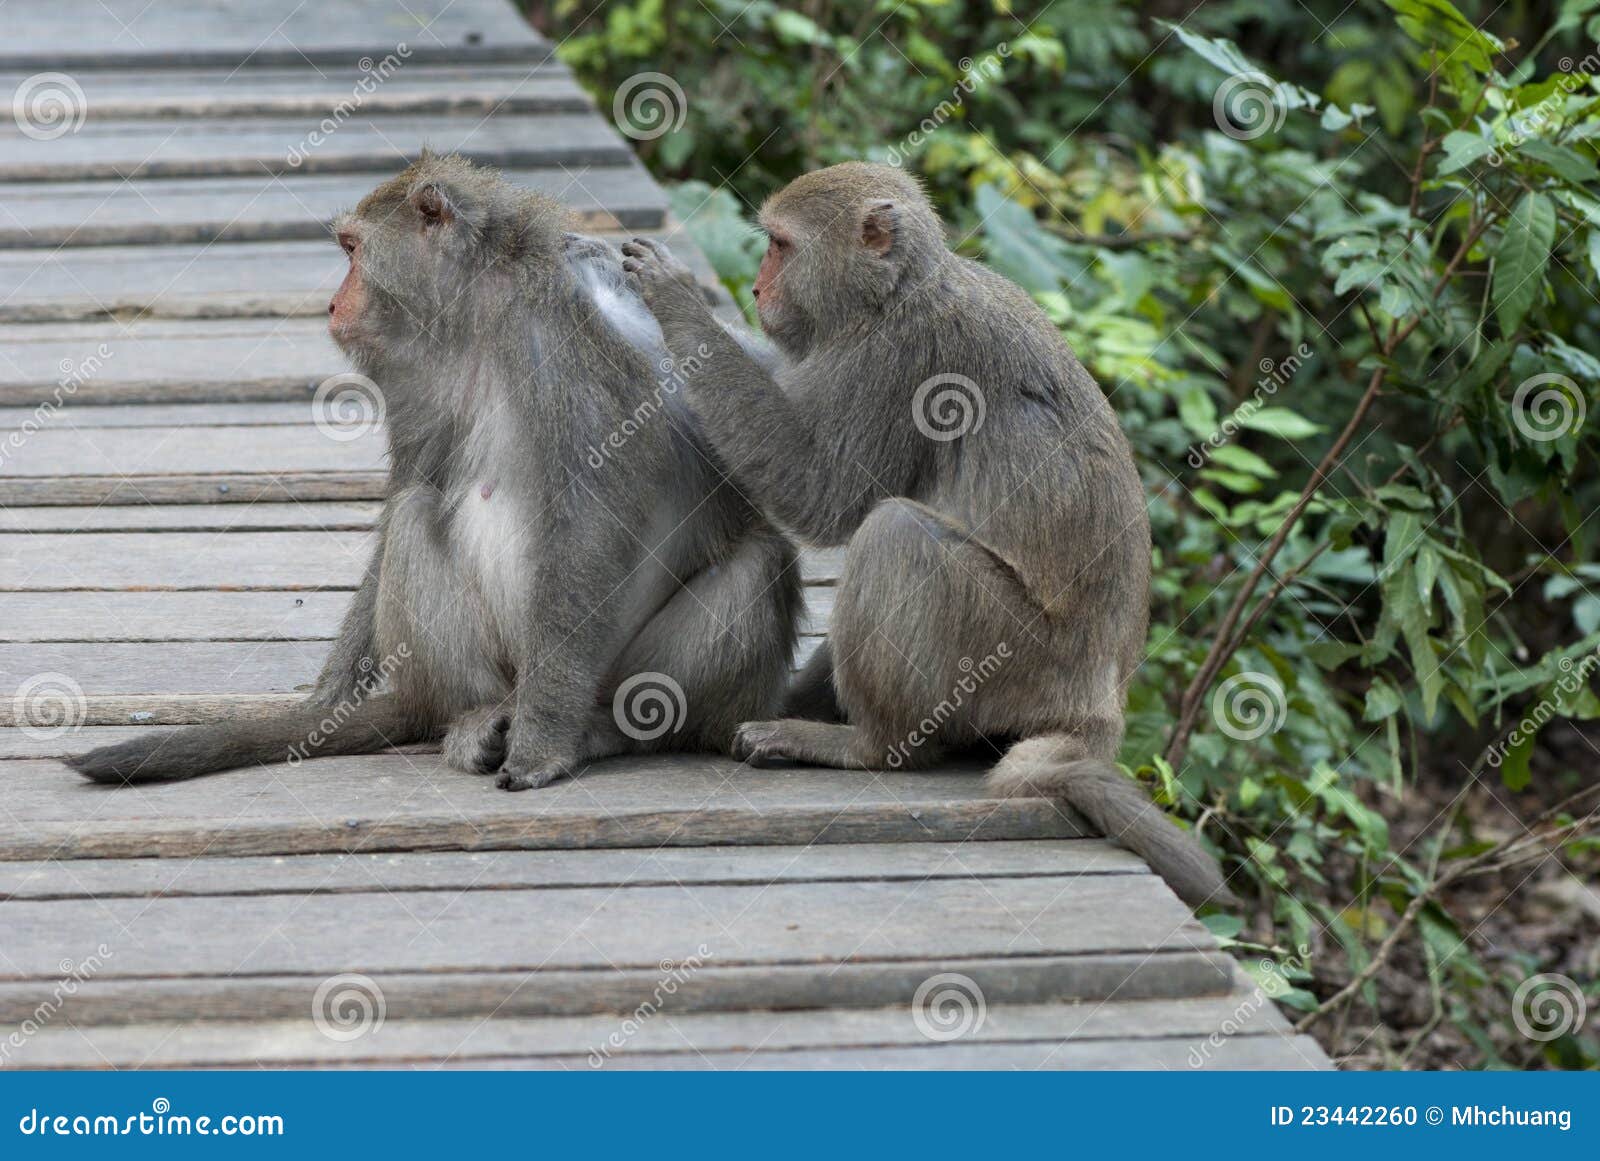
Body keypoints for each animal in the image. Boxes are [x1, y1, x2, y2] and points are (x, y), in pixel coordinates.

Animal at [68, 151, 802, 791]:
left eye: (352, 251)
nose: (333, 305)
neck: (481, 309)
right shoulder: (417, 370)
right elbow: (408, 491)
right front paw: (325, 702)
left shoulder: (560, 342)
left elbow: (591, 518)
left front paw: (540, 746)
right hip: (492, 668)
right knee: (416, 514)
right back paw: (475, 717)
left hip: (610, 672)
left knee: (755, 564)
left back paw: (603, 729)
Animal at [620, 162, 1232, 908]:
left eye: (779, 246)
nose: (760, 291)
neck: (890, 296)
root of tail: (1098, 705)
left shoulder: (900, 360)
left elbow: (824, 493)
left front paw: (678, 304)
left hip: (1016, 659)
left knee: (896, 532)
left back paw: (865, 745)